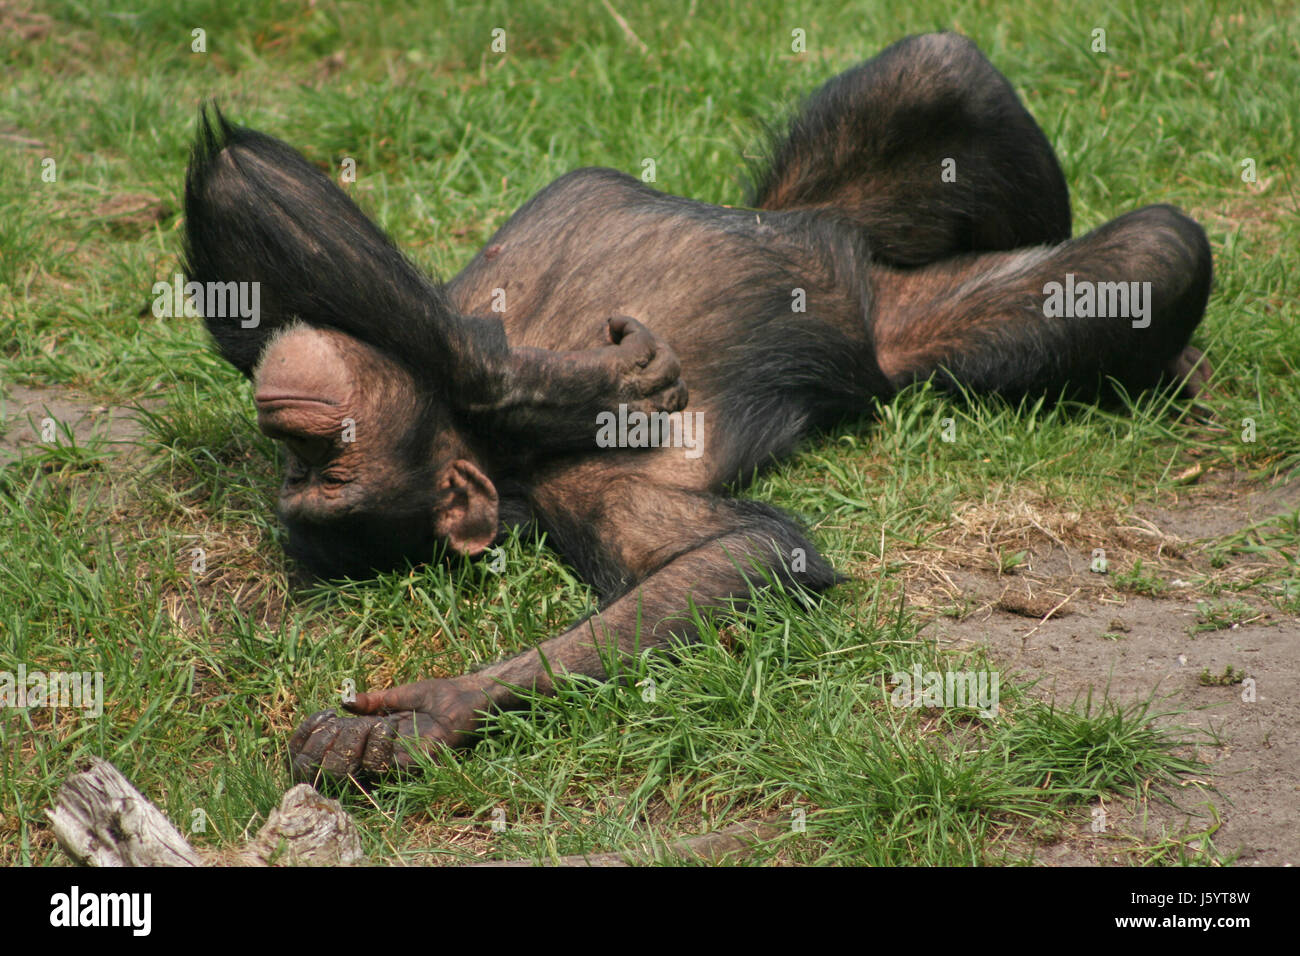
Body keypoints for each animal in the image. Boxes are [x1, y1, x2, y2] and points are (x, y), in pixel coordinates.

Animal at [180, 32, 1212, 778]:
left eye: (321, 464)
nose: (289, 437)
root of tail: (859, 267)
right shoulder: (595, 496)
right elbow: (742, 555)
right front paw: (446, 705)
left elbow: (242, 211)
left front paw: (532, 380)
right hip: (906, 331)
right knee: (1153, 253)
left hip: (823, 201)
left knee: (939, 70)